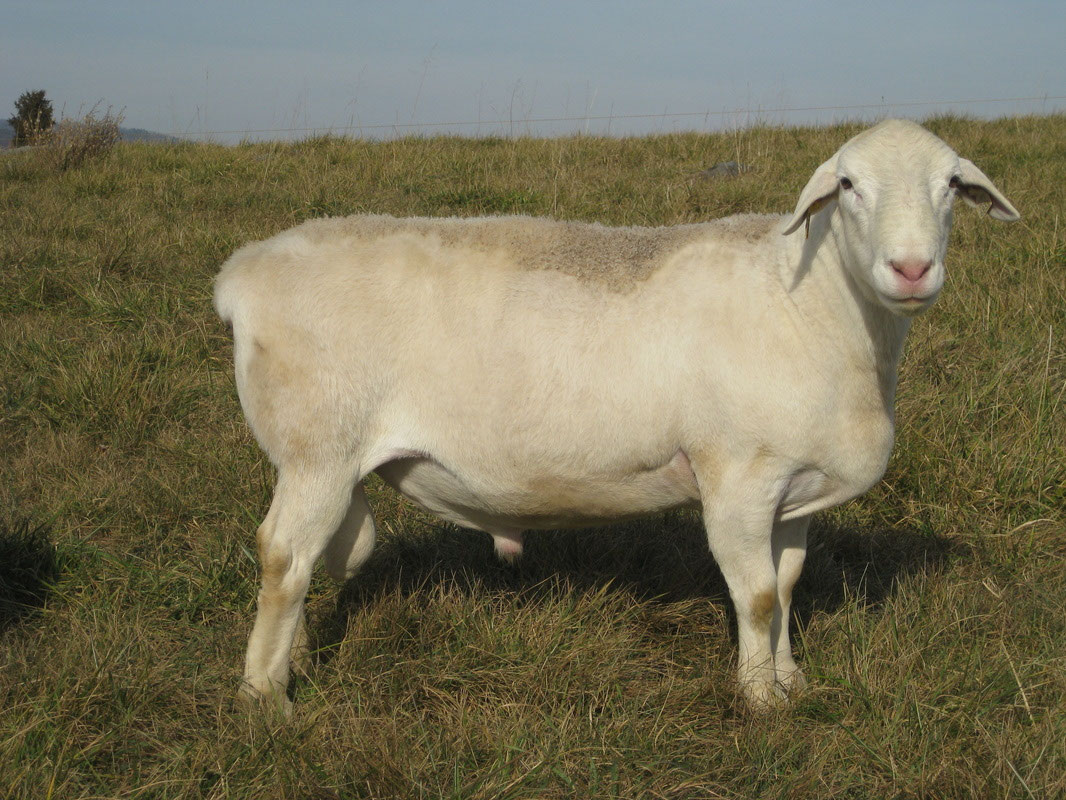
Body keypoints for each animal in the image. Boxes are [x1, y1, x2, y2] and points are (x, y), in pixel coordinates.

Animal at [214, 119, 1019, 713]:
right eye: (848, 186)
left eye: (952, 185)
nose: (911, 269)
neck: (812, 300)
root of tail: (243, 274)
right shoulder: (738, 476)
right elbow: (757, 596)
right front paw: (761, 702)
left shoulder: (793, 487)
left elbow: (788, 585)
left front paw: (791, 681)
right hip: (317, 445)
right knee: (283, 557)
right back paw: (267, 700)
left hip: (329, 458)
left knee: (311, 558)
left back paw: (294, 662)